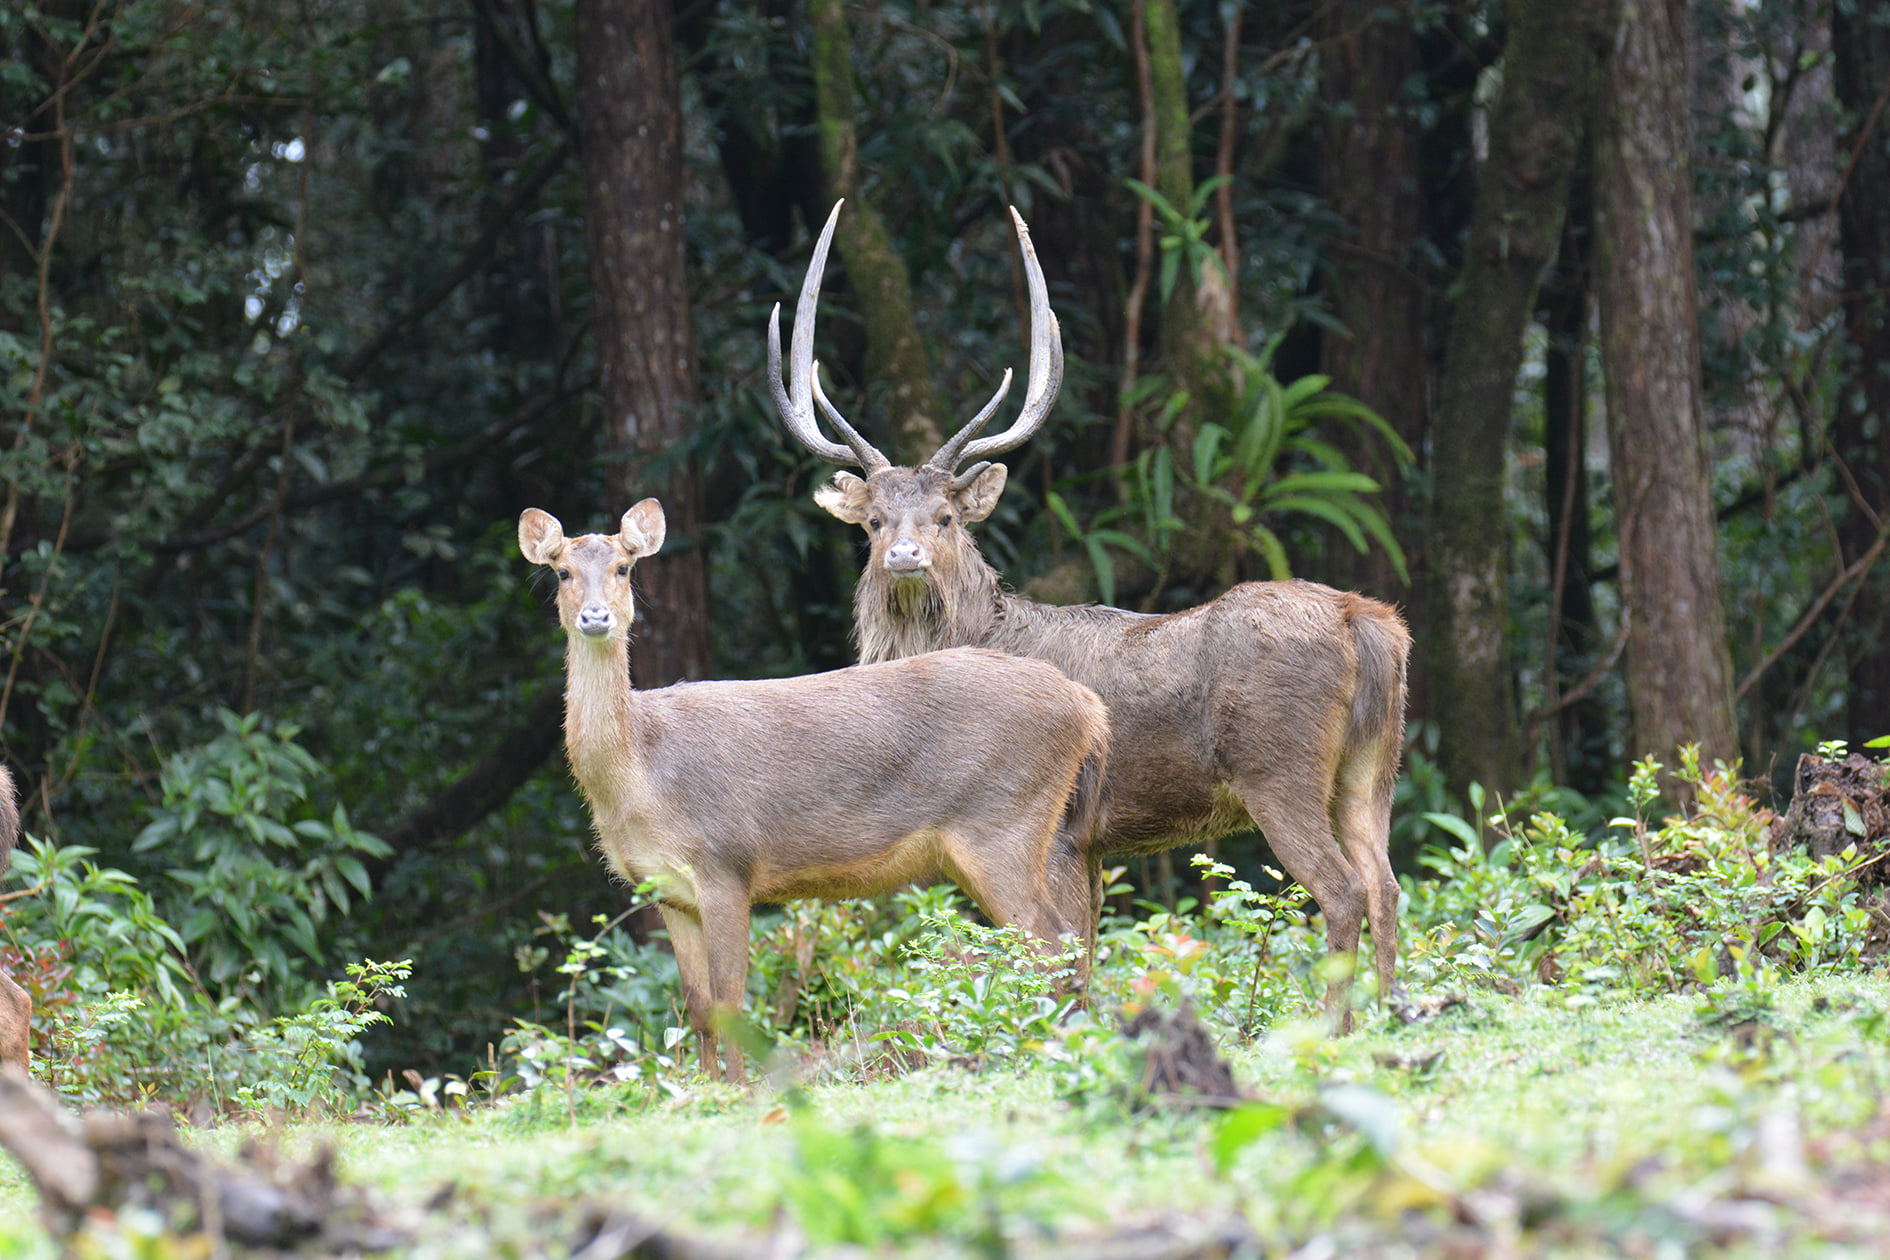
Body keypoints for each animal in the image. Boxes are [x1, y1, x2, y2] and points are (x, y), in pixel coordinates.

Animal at [519, 498, 1109, 1083]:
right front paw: (701, 1090)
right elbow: (699, 1006)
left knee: (1056, 943)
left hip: (1004, 820)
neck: (641, 773)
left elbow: (732, 1002)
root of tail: (1087, 707)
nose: (596, 617)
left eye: (623, 567)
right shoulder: (665, 890)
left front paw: (739, 1092)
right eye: (562, 571)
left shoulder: (726, 864)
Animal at [768, 202, 1411, 1030]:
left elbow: (1060, 957)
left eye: (946, 517)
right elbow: (1085, 952)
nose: (904, 556)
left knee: (1344, 889)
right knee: (1388, 883)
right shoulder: (1095, 839)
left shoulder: (1061, 825)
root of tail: (1366, 622)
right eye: (874, 521)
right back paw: (1394, 1014)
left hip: (1280, 765)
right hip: (1375, 763)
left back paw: (1332, 1029)